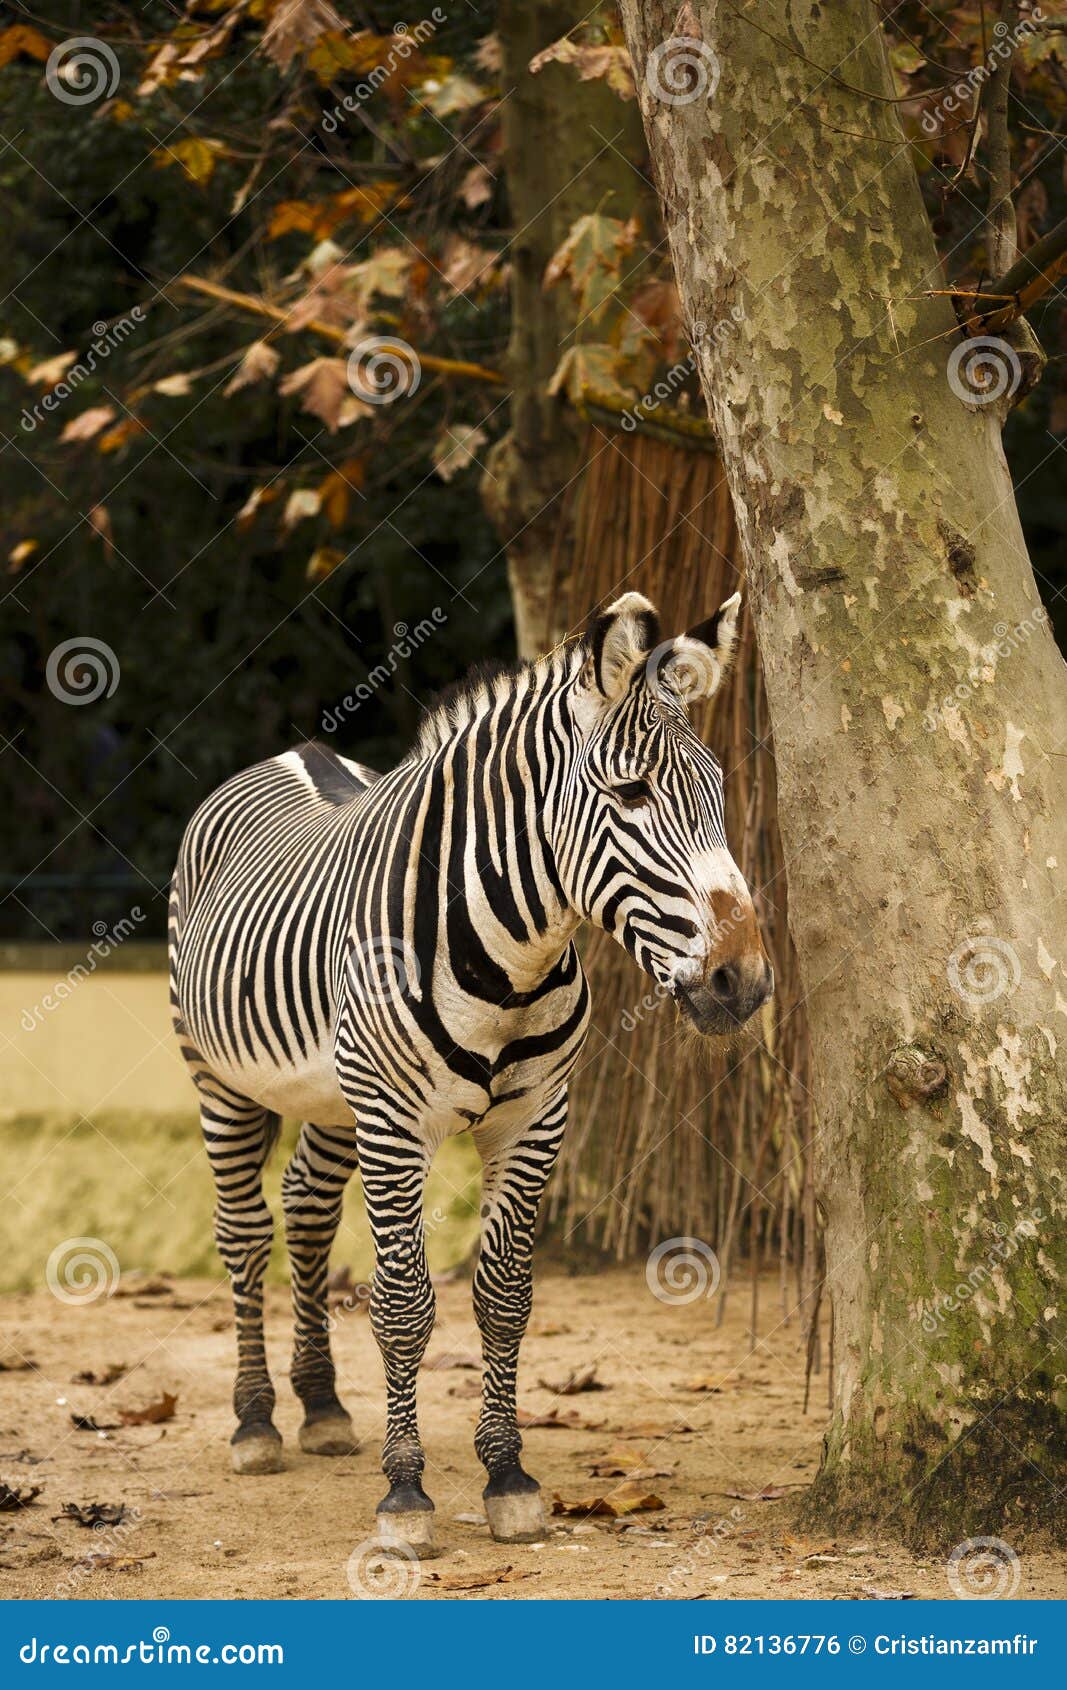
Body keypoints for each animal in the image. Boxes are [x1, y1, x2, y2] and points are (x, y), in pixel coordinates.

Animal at [169, 590, 772, 1557]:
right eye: (631, 793)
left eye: (718, 796)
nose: (741, 982)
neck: (512, 959)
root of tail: (297, 751)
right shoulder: (393, 1121)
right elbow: (404, 1302)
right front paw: (406, 1494)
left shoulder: (534, 1117)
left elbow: (505, 1295)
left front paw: (507, 1477)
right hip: (220, 1080)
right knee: (245, 1231)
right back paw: (256, 1420)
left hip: (330, 1099)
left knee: (305, 1213)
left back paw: (324, 1407)